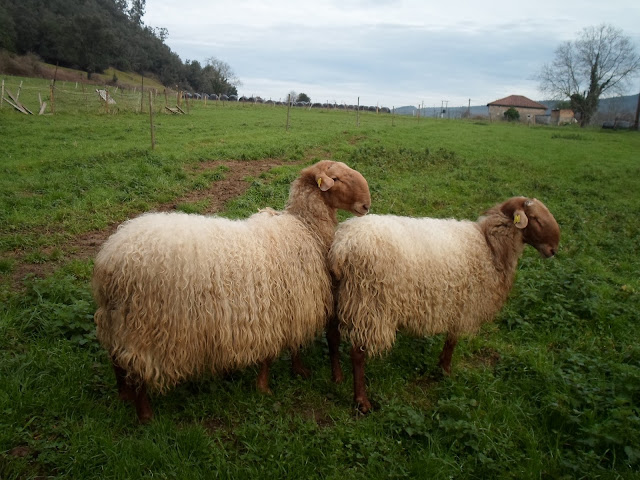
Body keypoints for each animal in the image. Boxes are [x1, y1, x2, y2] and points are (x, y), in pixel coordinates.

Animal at [93, 160, 371, 422]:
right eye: (336, 179)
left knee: (116, 360)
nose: (367, 205)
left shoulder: (288, 305)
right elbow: (271, 353)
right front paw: (264, 388)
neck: (304, 228)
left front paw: (299, 371)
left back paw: (124, 396)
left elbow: (293, 344)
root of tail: (109, 258)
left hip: (116, 318)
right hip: (142, 326)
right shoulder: (275, 310)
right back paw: (145, 415)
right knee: (136, 368)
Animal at [328, 196, 560, 412]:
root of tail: (342, 247)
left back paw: (336, 377)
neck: (489, 246)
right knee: (357, 354)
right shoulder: (465, 304)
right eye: (536, 219)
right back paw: (361, 401)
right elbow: (452, 341)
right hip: (368, 304)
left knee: (333, 337)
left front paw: (442, 366)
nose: (554, 250)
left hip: (340, 297)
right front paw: (446, 369)